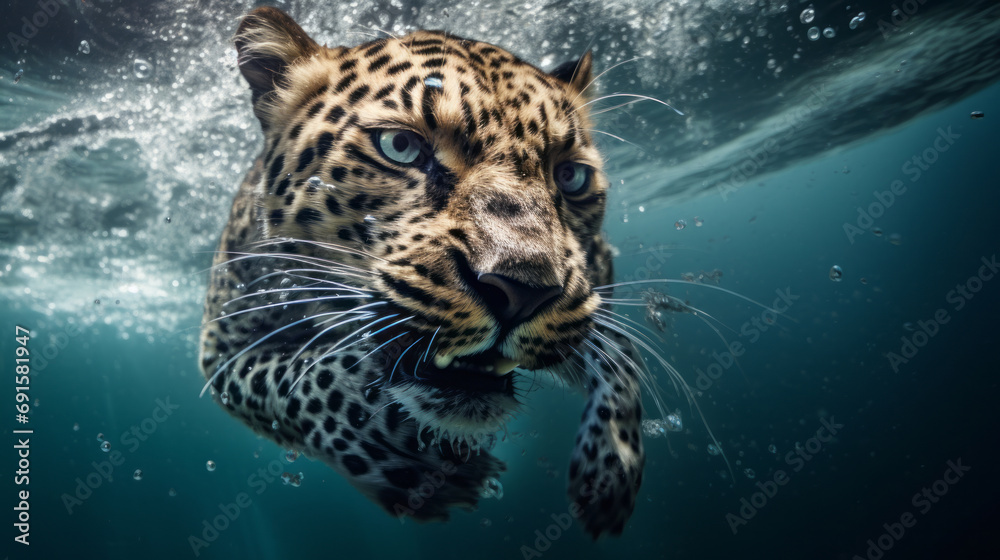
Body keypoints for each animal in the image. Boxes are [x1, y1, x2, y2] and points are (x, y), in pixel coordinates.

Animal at [199, 6, 646, 537]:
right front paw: (408, 459)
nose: (524, 292)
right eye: (400, 146)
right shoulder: (221, 350)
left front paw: (609, 469)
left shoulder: (591, 294)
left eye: (571, 177)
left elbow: (623, 357)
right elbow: (299, 384)